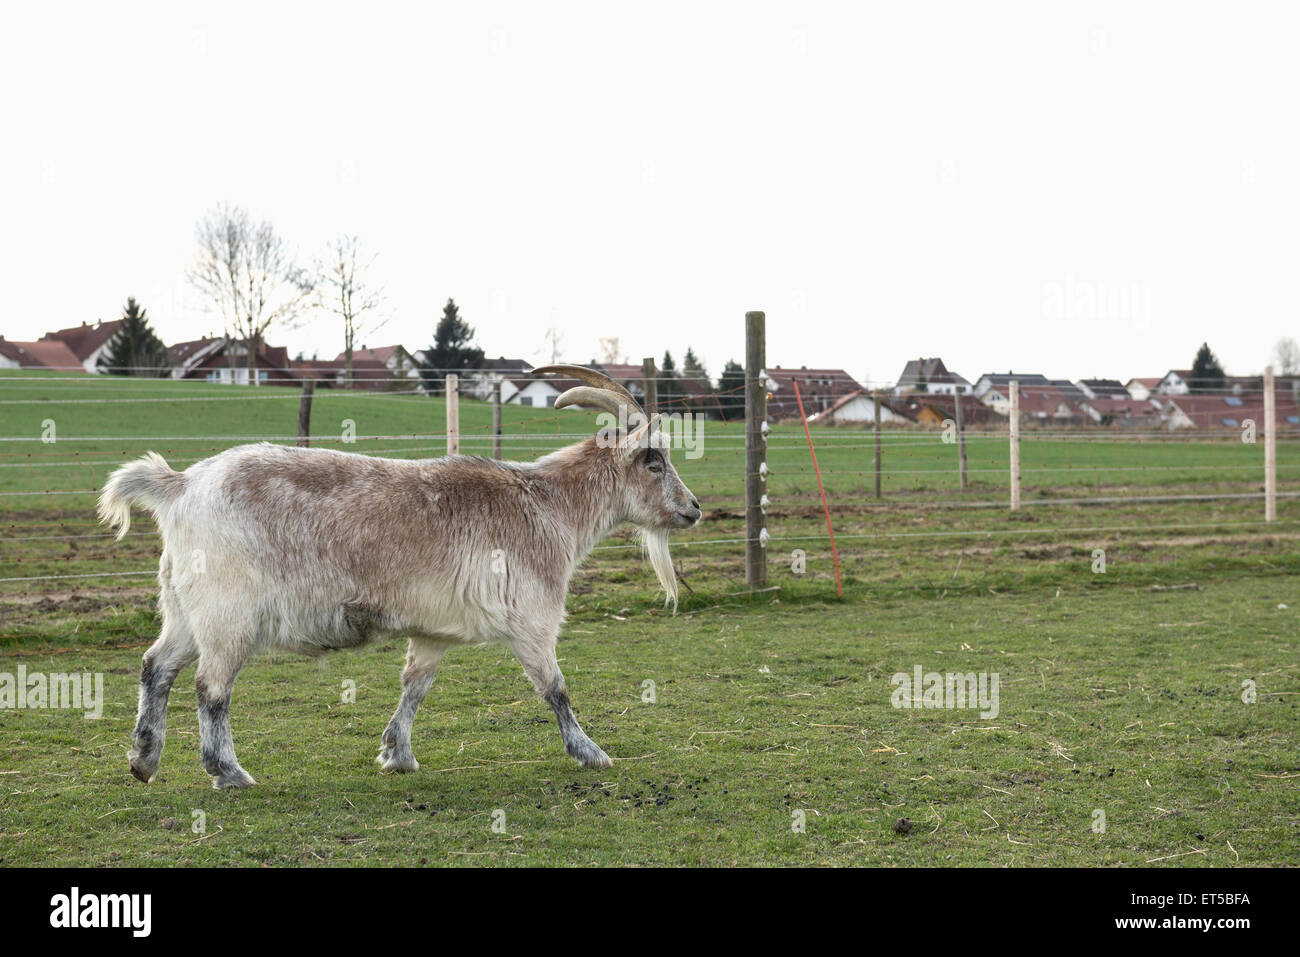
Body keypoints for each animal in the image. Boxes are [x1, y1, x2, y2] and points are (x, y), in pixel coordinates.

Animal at [97, 365, 700, 788]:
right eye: (653, 459)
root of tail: (180, 486)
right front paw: (591, 752)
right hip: (229, 615)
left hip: (184, 607)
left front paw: (397, 754)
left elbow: (415, 684)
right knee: (211, 688)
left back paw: (144, 760)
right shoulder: (532, 621)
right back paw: (228, 772)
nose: (693, 509)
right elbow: (555, 688)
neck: (547, 506)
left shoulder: (434, 630)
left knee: (157, 666)